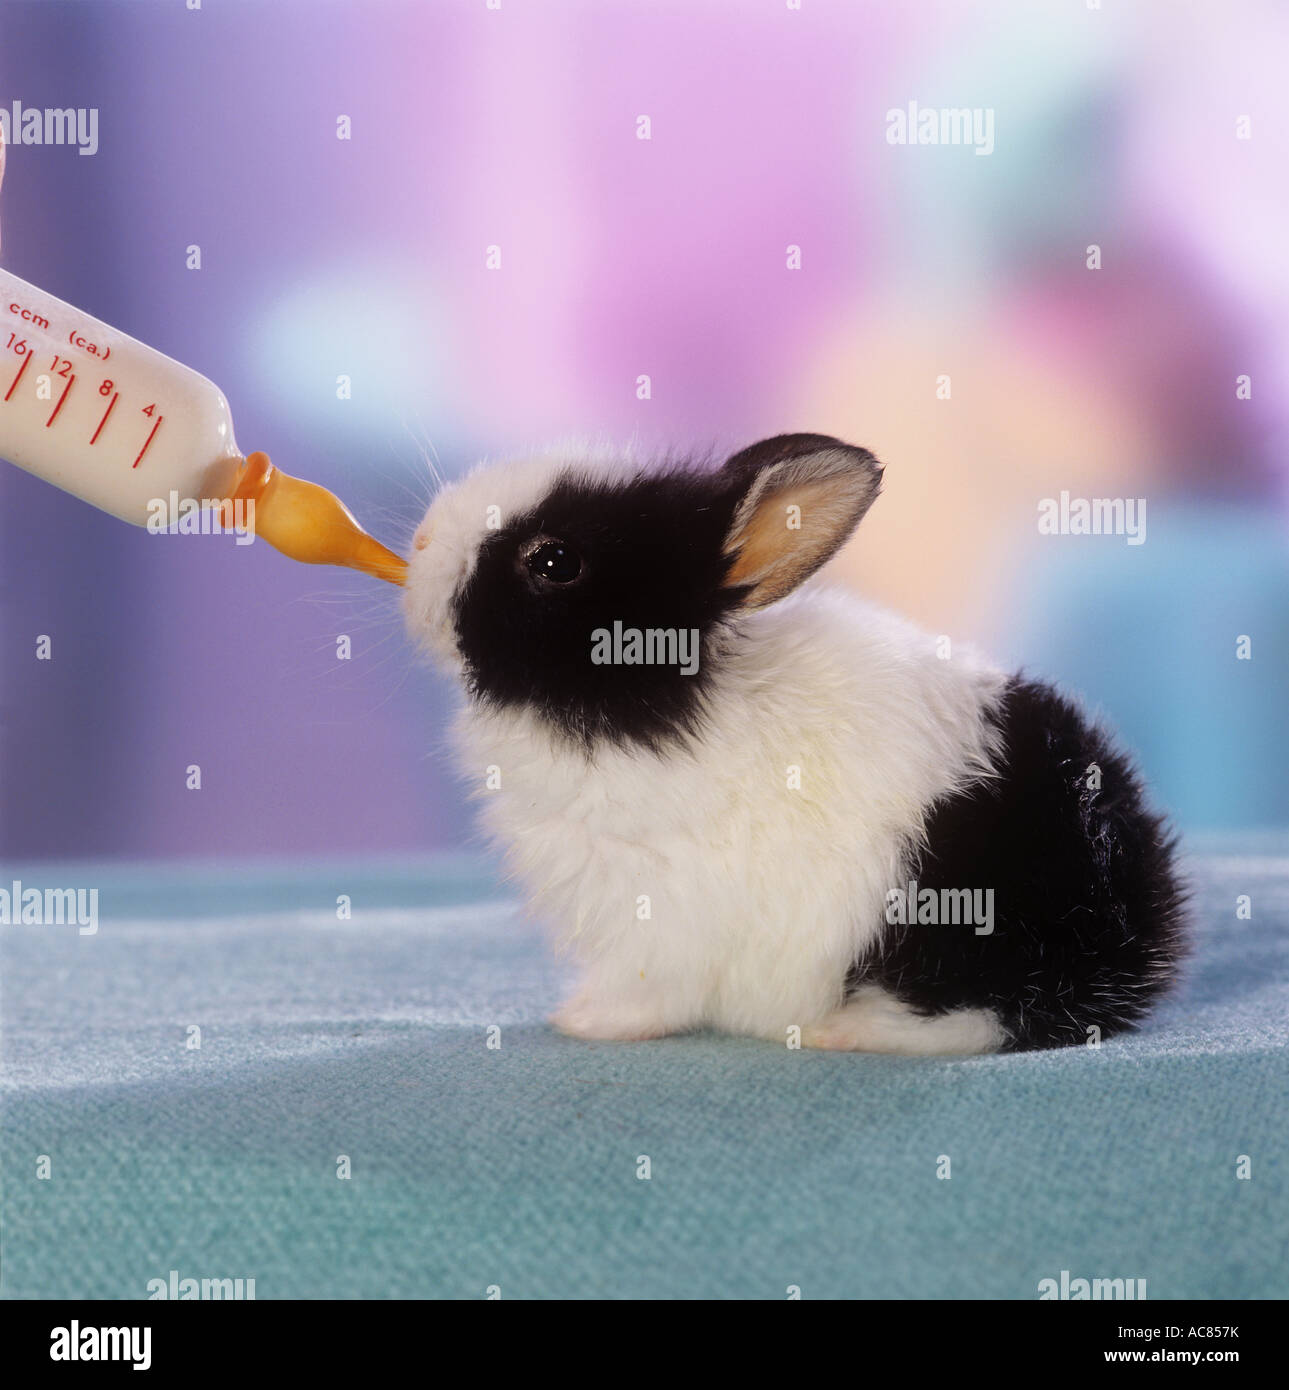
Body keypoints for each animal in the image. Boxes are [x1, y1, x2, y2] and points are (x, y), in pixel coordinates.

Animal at [402, 433, 1187, 1054]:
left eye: (553, 561)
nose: (419, 543)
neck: (654, 702)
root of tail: (1129, 936)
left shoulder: (658, 913)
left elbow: (647, 990)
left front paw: (583, 1022)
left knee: (978, 1020)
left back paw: (845, 1031)